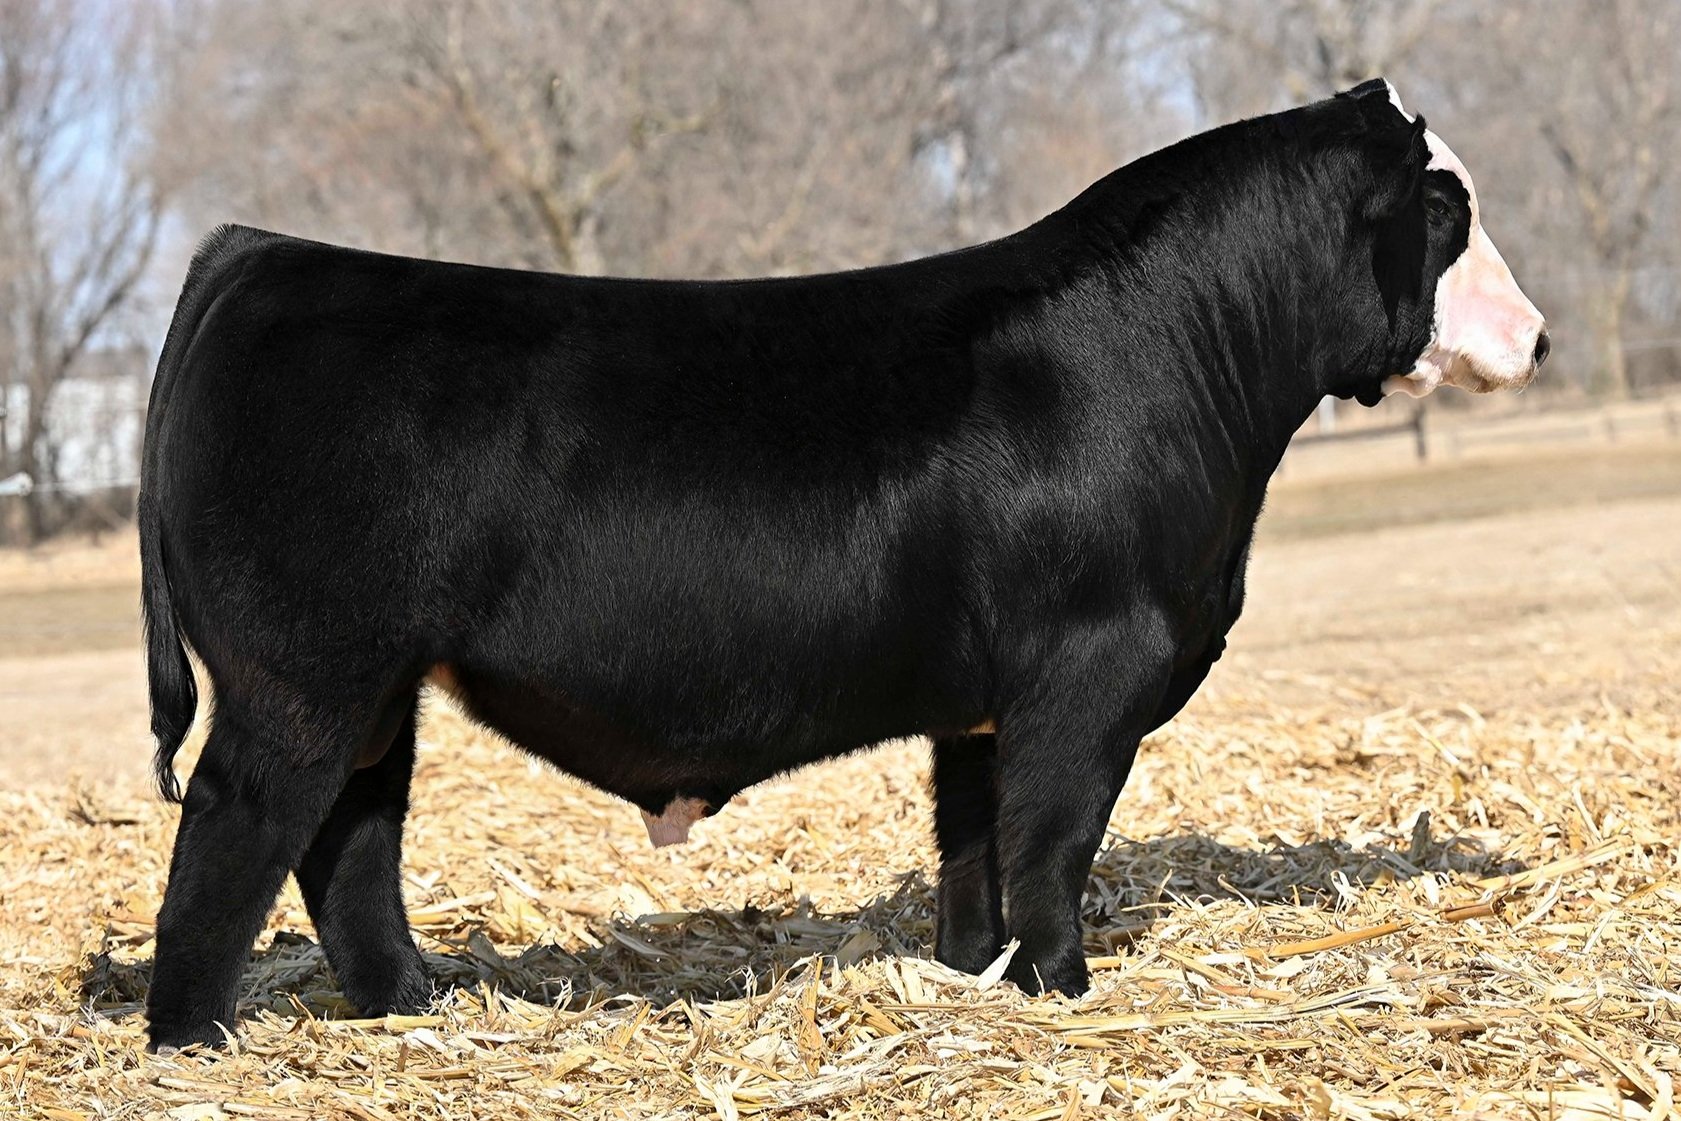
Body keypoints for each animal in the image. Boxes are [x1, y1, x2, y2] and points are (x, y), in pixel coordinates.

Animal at [138, 79, 1547, 1051]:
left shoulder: (986, 698)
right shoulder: (1091, 664)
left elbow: (976, 843)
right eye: (1446, 210)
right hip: (299, 679)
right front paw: (1064, 985)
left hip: (371, 689)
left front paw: (980, 972)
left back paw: (412, 1004)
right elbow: (1054, 837)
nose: (1537, 336)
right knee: (234, 835)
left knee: (348, 844)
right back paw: (194, 1038)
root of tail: (265, 252)